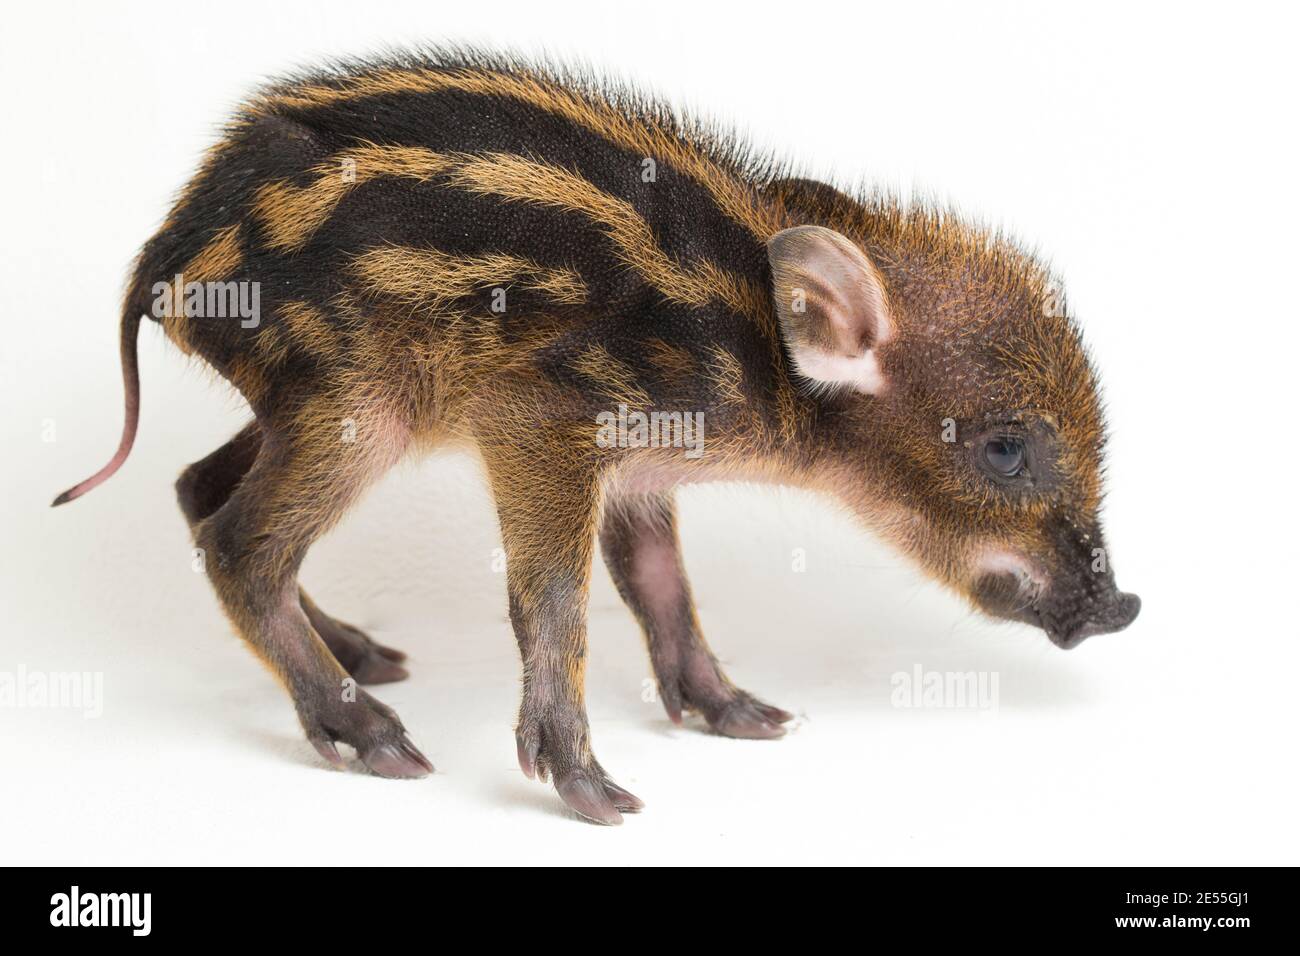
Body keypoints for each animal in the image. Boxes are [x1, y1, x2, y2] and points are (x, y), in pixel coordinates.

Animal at [53, 48, 1140, 824]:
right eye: (1005, 447)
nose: (1120, 605)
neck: (756, 350)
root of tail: (167, 253)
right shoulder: (541, 421)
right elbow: (555, 601)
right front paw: (592, 790)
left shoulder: (637, 464)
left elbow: (661, 585)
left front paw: (744, 716)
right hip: (356, 404)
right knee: (242, 543)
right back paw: (375, 734)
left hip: (303, 403)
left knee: (198, 487)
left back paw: (372, 654)